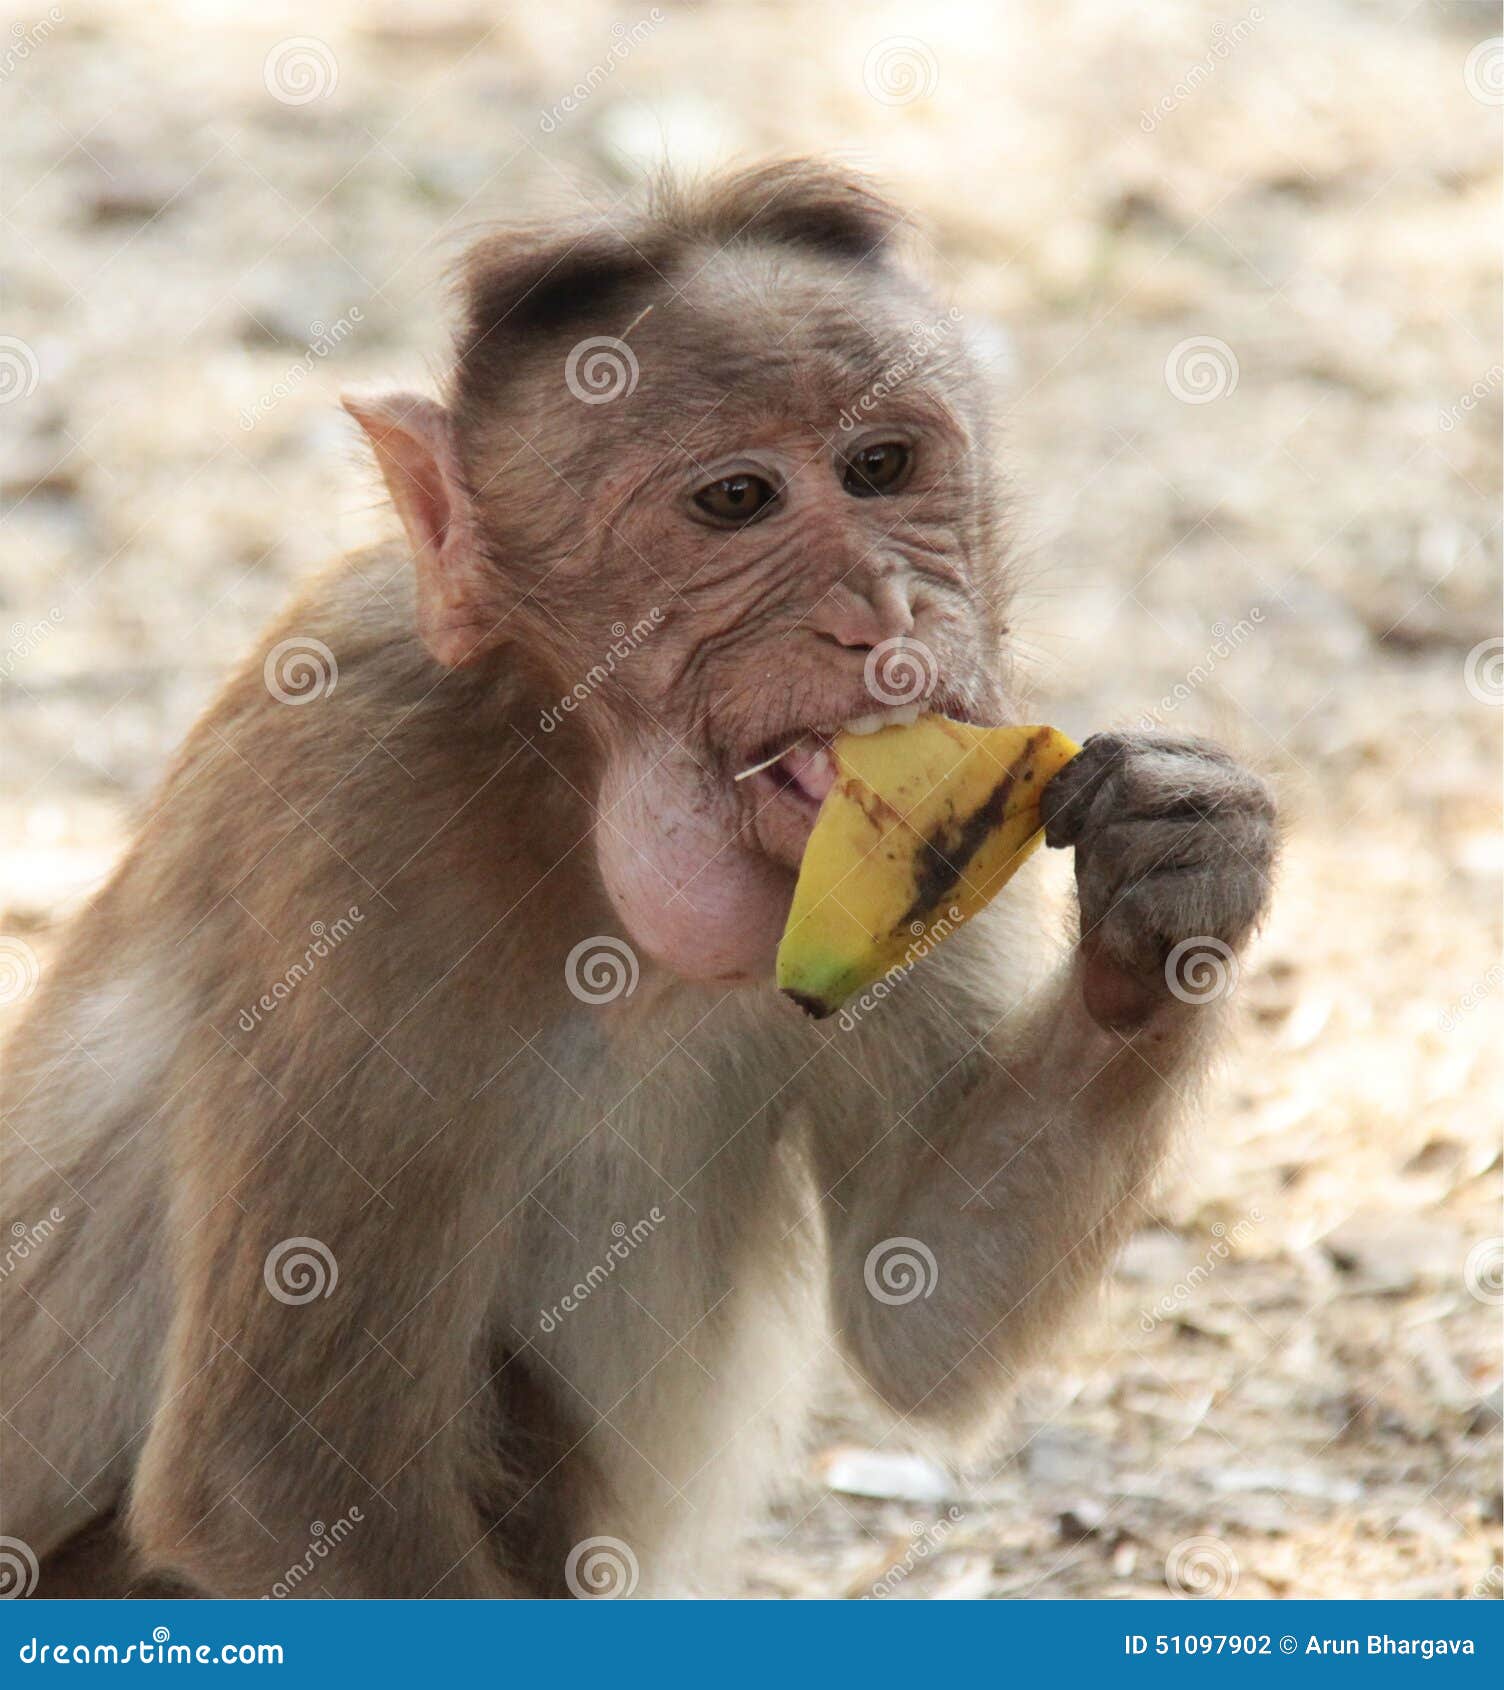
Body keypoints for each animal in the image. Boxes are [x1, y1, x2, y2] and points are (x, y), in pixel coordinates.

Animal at [0, 160, 1276, 1599]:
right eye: (735, 502)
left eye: (881, 468)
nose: (883, 612)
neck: (567, 783)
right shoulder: (350, 809)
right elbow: (276, 1471)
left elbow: (919, 1304)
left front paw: (1176, 885)